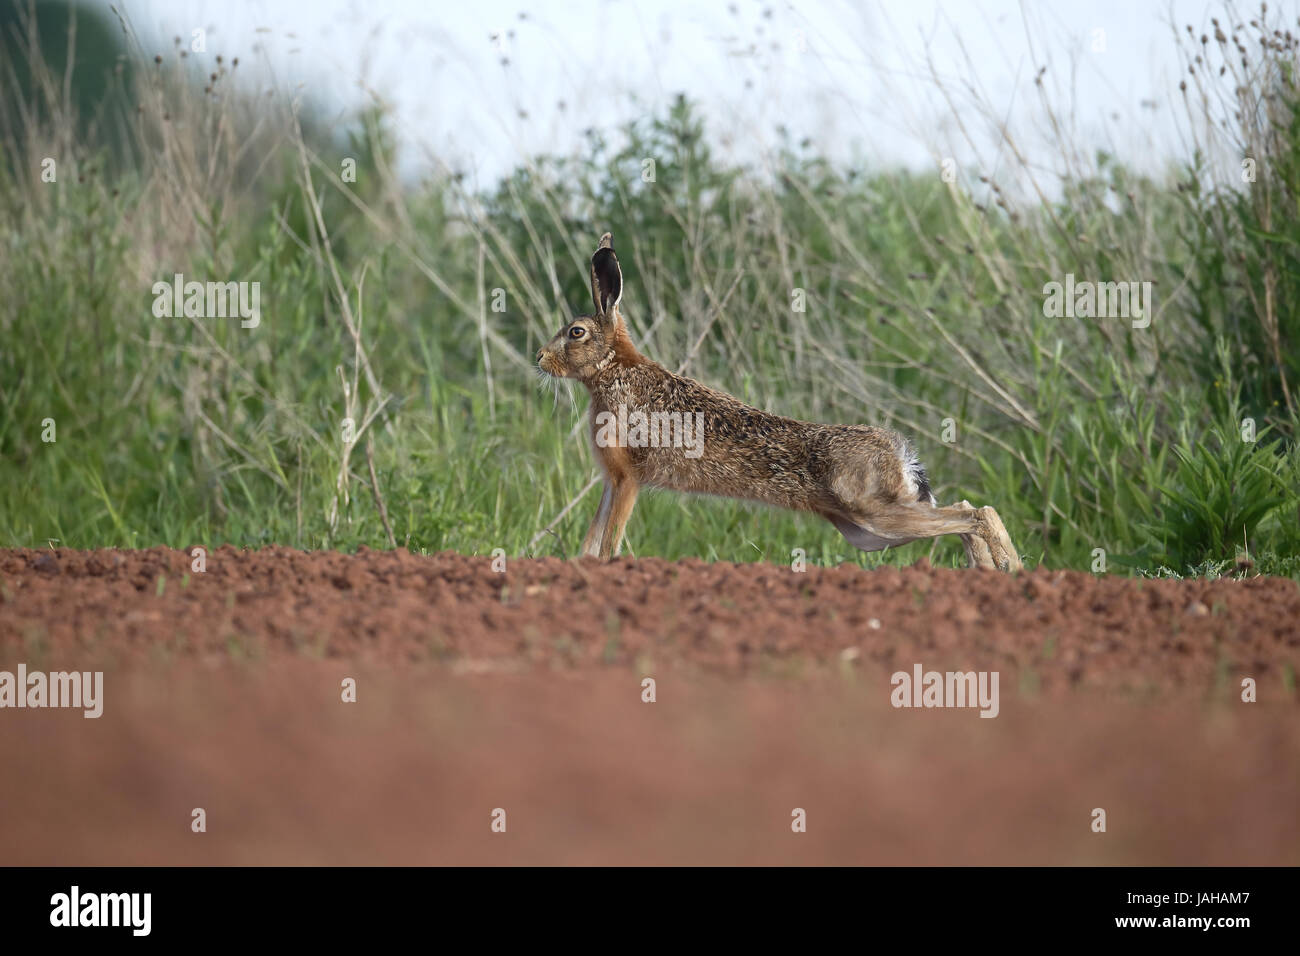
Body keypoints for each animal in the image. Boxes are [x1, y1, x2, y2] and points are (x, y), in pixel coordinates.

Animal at [536, 232, 1022, 571]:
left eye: (576, 332)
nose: (539, 358)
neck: (613, 369)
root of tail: (900, 453)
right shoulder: (611, 481)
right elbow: (592, 535)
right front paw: (577, 568)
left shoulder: (627, 480)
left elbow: (609, 539)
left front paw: (601, 570)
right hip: (869, 531)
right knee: (963, 512)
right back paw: (991, 569)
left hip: (874, 513)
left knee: (976, 514)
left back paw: (1009, 566)